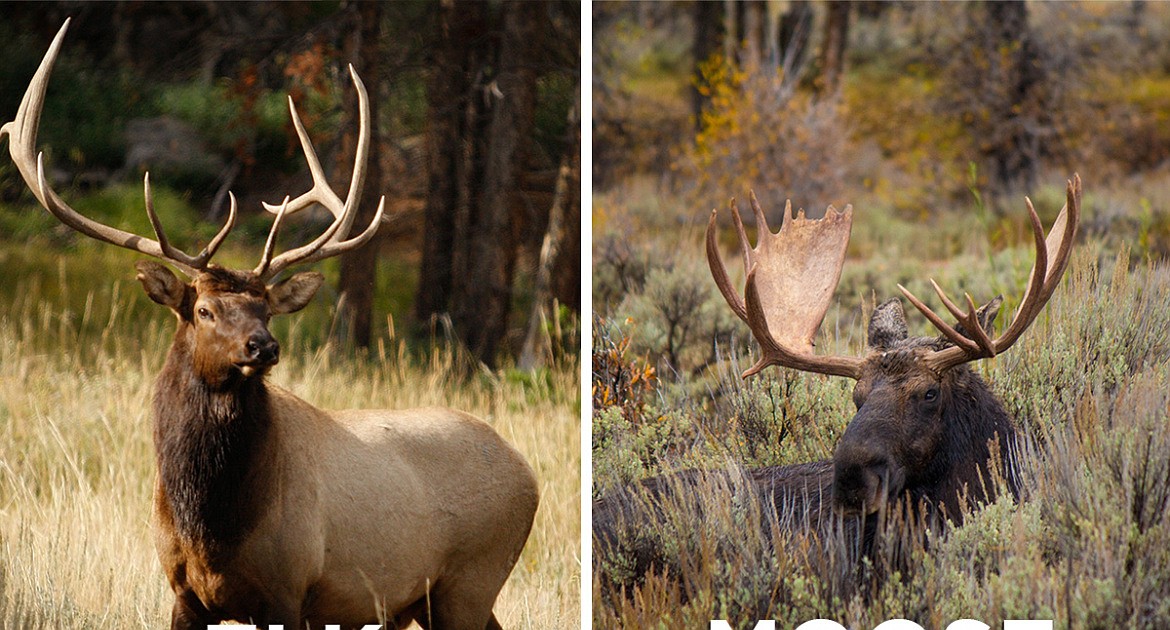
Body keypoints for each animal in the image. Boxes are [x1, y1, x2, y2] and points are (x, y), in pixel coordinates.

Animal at [3, 21, 539, 630]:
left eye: (265, 309)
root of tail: (529, 474)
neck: (212, 529)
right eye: (204, 310)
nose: (264, 346)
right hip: (432, 598)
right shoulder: (182, 592)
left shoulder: (289, 588)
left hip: (470, 581)